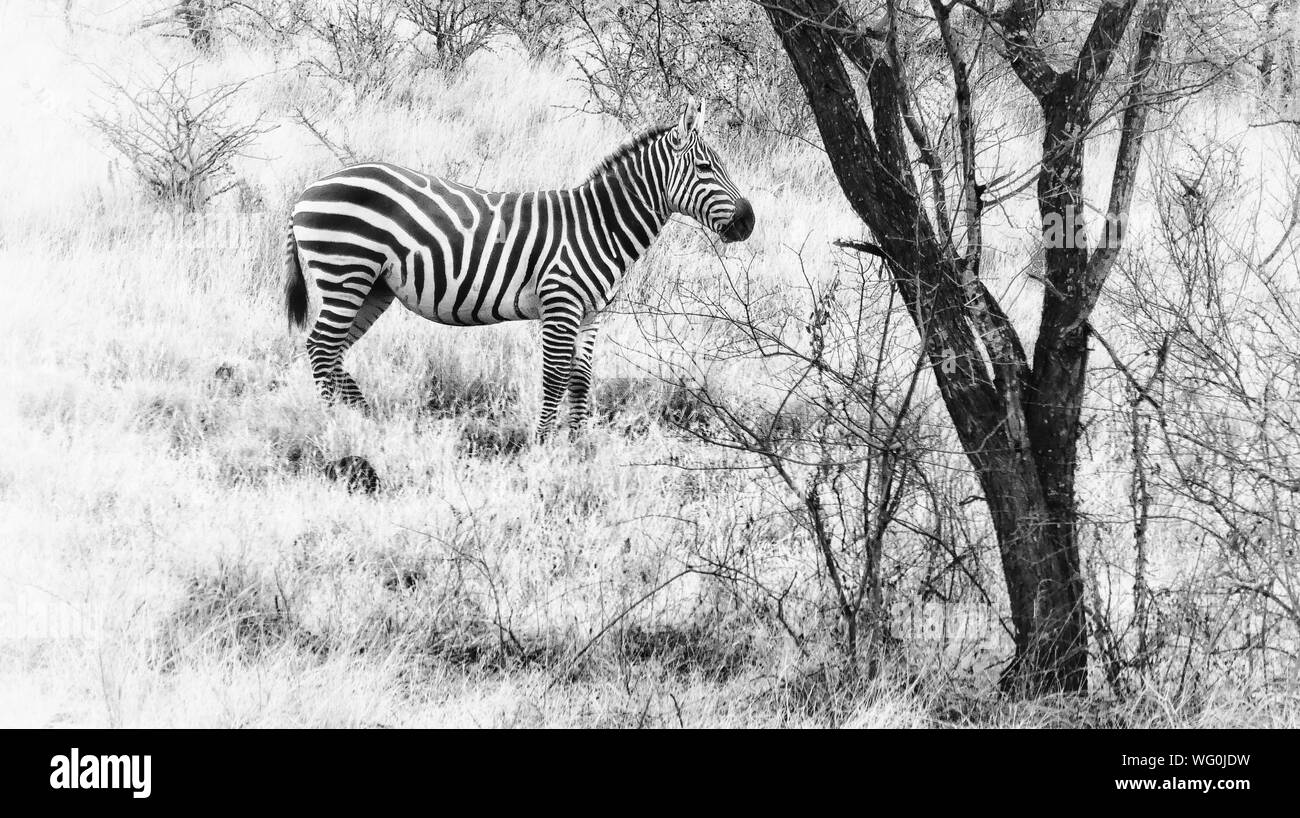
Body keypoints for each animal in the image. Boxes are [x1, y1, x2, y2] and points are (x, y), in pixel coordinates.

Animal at [283, 100, 754, 437]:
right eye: (705, 167)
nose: (749, 222)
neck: (599, 225)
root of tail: (309, 189)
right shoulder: (561, 305)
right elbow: (555, 378)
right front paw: (542, 445)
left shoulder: (592, 314)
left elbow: (581, 380)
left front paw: (577, 448)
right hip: (346, 273)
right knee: (321, 347)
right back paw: (337, 424)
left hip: (374, 287)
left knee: (334, 351)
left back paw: (364, 419)